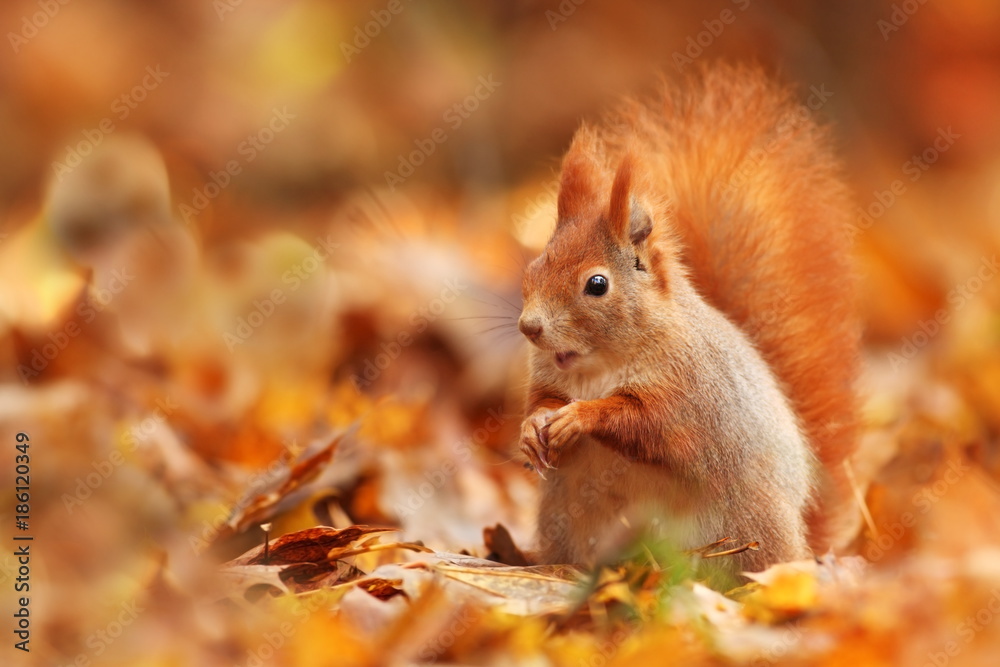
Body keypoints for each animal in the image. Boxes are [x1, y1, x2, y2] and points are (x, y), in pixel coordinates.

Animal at [517, 64, 859, 574]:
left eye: (596, 284)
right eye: (533, 269)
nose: (530, 327)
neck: (599, 364)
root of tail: (803, 543)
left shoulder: (690, 395)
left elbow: (648, 425)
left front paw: (578, 416)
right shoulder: (547, 376)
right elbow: (541, 400)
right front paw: (532, 427)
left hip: (746, 524)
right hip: (566, 516)